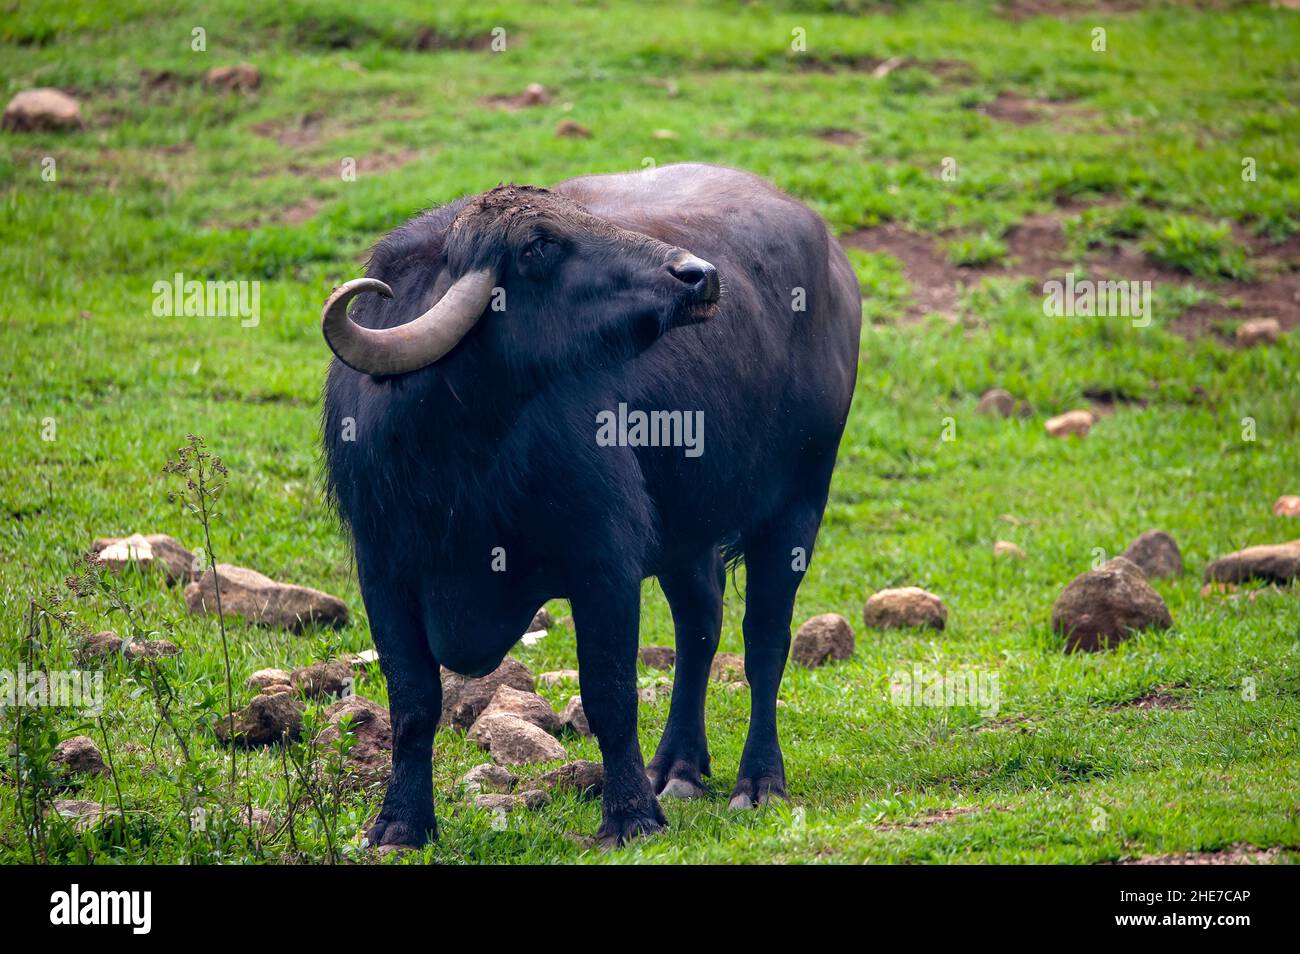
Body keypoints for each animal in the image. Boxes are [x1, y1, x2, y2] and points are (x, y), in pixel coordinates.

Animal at [321, 163, 860, 848]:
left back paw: (758, 782)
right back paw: (677, 768)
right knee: (699, 626)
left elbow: (609, 692)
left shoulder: (603, 559)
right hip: (686, 533)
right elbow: (413, 700)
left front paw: (630, 817)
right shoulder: (382, 567)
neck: (460, 465)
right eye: (540, 245)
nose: (699, 274)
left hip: (798, 503)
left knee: (764, 639)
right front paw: (400, 824)